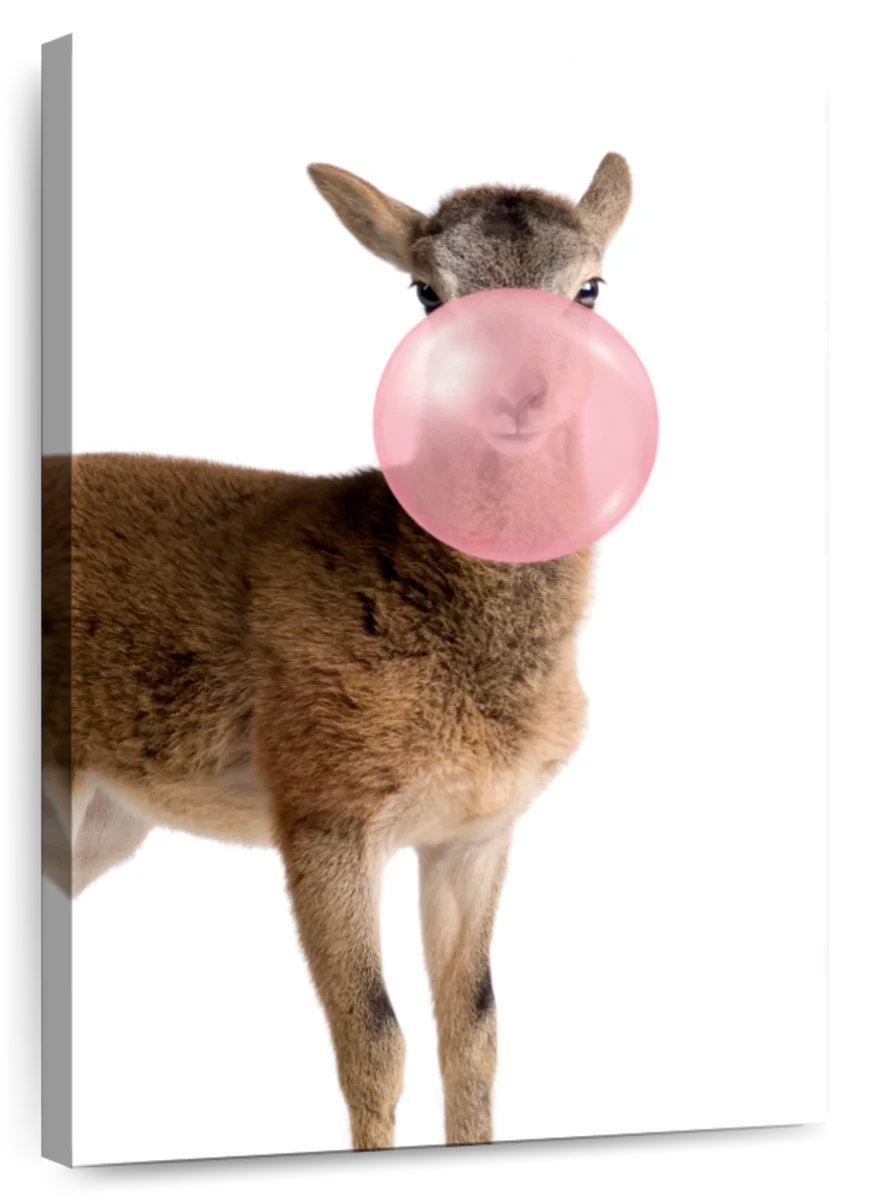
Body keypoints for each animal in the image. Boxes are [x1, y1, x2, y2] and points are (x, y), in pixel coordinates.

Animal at [41, 152, 632, 1151]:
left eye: (588, 288)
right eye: (427, 293)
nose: (518, 394)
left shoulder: (476, 832)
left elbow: (474, 1031)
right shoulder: (322, 809)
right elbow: (374, 1039)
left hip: (102, 825)